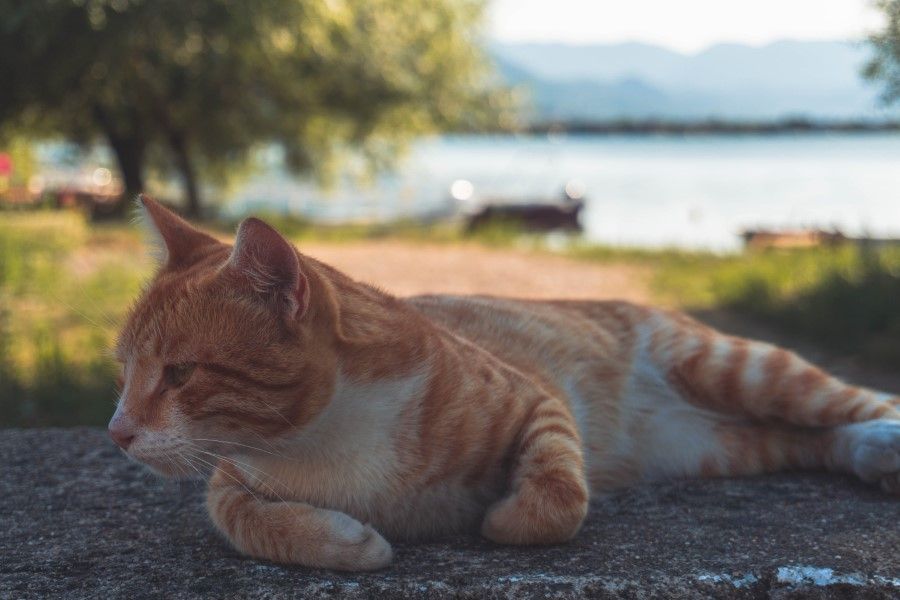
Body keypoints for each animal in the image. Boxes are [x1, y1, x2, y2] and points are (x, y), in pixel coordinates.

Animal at [112, 198, 900, 572]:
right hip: (722, 445)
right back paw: (875, 456)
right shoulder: (229, 481)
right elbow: (244, 520)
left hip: (735, 368)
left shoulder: (536, 399)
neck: (329, 439)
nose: (117, 432)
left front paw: (500, 518)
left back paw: (885, 439)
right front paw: (349, 541)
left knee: (854, 403)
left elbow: (555, 498)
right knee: (810, 438)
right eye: (123, 368)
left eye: (180, 372)